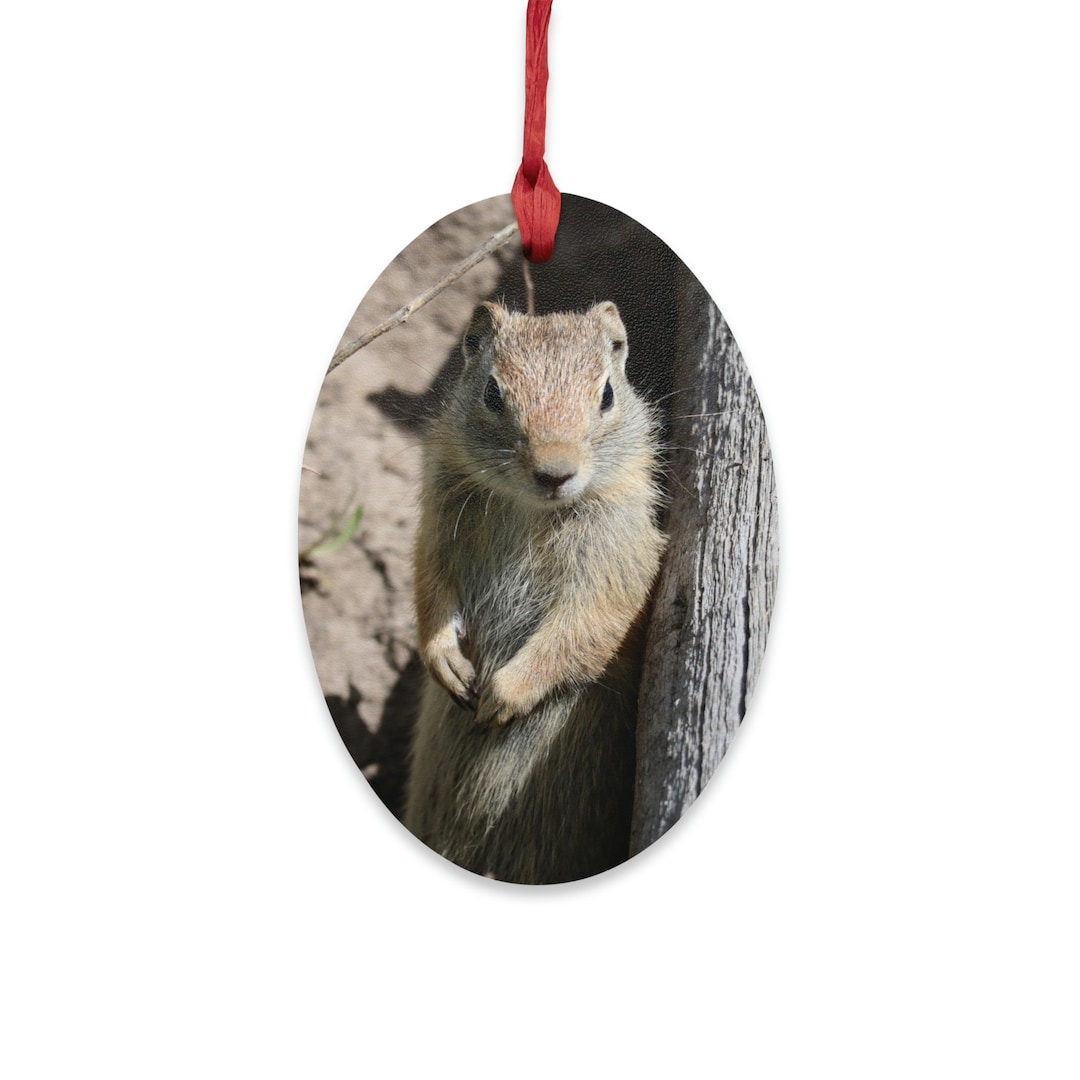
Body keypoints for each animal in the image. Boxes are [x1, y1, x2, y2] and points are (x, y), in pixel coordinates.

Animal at [403, 300, 667, 884]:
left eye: (607, 394)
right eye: (492, 392)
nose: (554, 473)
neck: (531, 507)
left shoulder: (616, 562)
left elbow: (582, 627)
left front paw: (501, 695)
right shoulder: (437, 521)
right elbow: (430, 587)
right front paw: (446, 662)